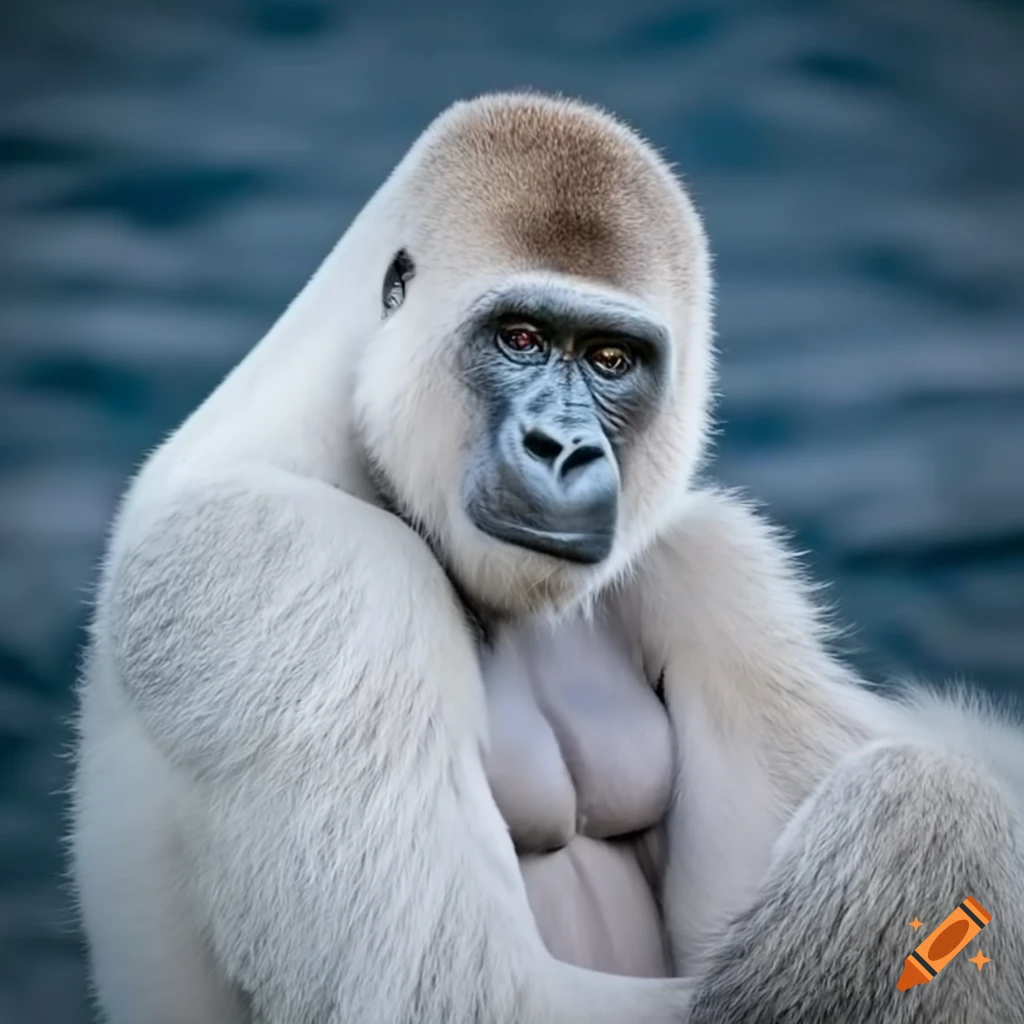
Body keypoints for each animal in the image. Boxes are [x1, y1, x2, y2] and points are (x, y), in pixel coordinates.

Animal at [69, 92, 1024, 1024]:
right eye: (520, 337)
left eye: (610, 358)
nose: (561, 450)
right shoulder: (287, 561)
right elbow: (462, 996)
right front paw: (931, 817)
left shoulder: (708, 564)